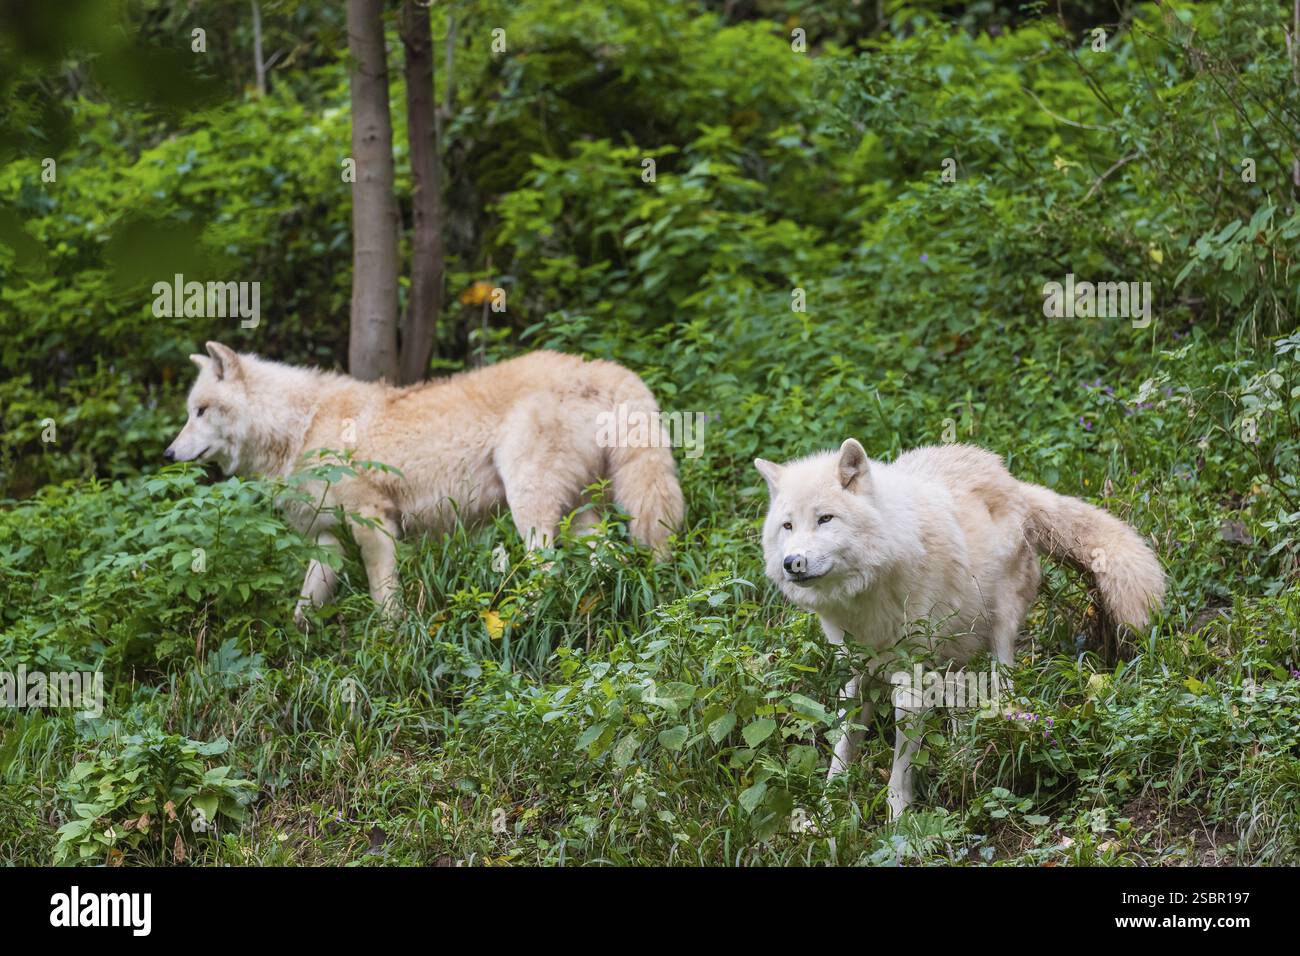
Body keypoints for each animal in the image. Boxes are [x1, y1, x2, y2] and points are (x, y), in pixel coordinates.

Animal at [166, 342, 684, 628]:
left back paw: (523, 617)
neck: (301, 426)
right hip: (578, 513)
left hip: (530, 509)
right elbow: (304, 607)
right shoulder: (328, 540)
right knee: (606, 560)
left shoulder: (374, 524)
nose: (168, 455)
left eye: (201, 411)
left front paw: (390, 639)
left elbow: (383, 596)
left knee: (549, 570)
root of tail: (598, 368)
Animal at [756, 439, 1163, 819]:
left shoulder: (910, 679)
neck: (868, 590)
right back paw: (961, 755)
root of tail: (1009, 477)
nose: (793, 563)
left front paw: (898, 822)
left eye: (825, 519)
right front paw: (825, 812)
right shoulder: (855, 673)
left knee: (1002, 682)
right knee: (958, 707)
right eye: (787, 525)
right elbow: (841, 749)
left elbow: (901, 766)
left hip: (1000, 629)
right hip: (954, 653)